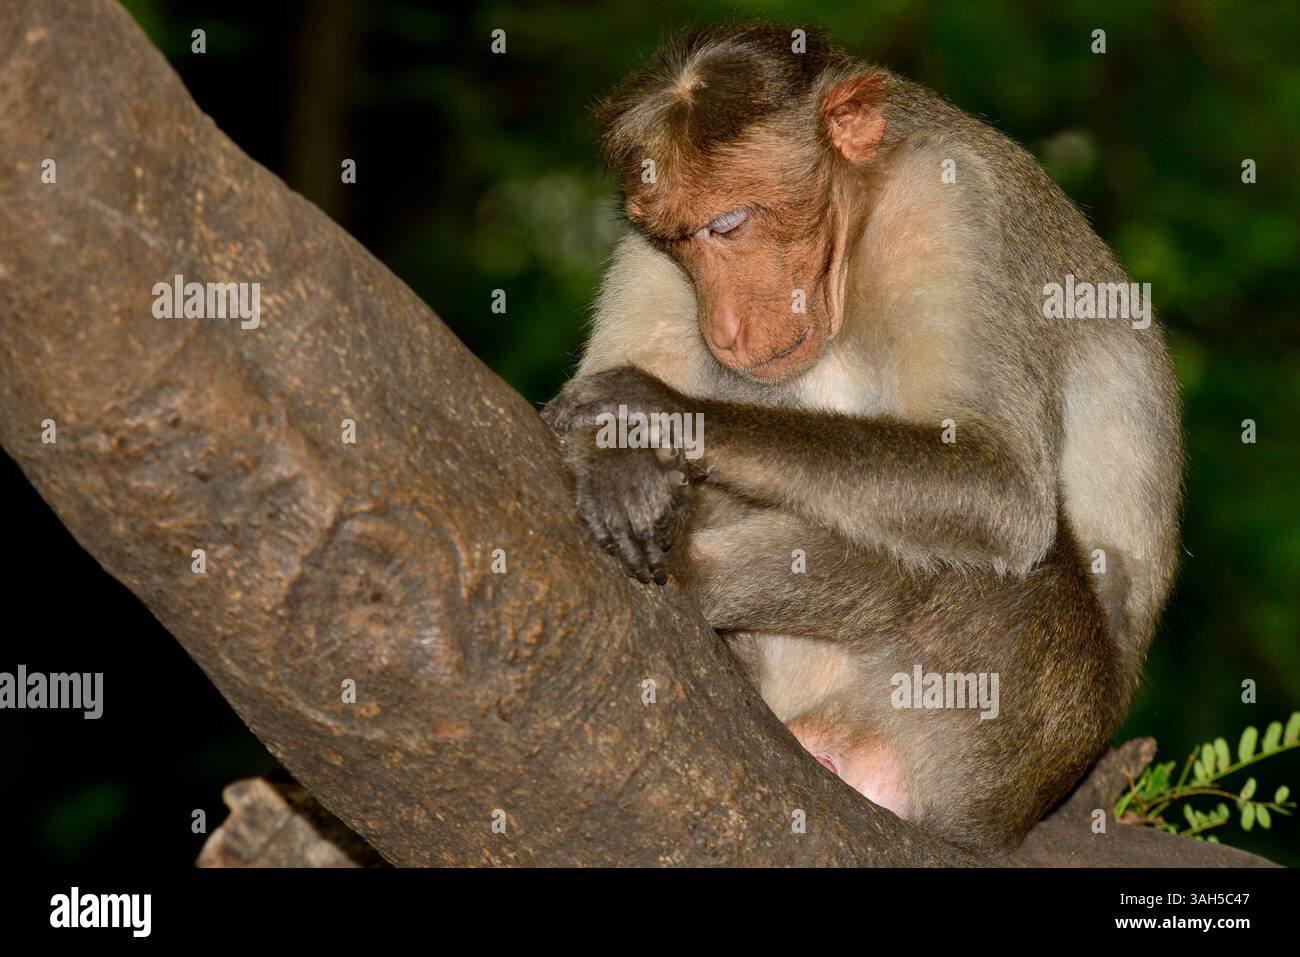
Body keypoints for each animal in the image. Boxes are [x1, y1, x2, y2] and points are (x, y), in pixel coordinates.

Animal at [542, 23, 1182, 850]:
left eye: (729, 225)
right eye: (678, 240)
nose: (725, 327)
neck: (860, 225)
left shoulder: (950, 203)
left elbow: (1002, 483)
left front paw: (649, 414)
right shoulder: (644, 254)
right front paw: (613, 456)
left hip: (1004, 726)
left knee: (961, 562)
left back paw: (693, 571)